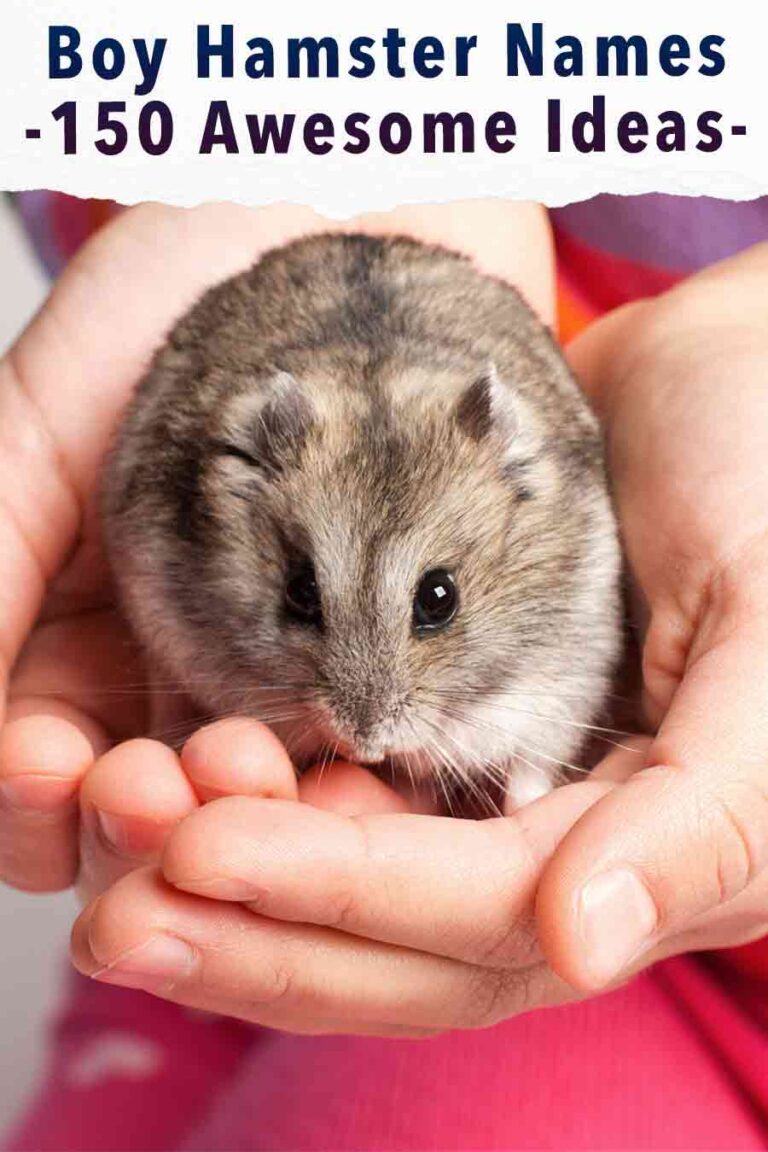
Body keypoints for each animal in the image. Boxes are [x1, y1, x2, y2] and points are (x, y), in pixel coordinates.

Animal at [102, 233, 622, 812]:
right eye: (300, 591)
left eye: (439, 598)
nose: (366, 744)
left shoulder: (557, 687)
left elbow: (528, 775)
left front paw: (521, 811)